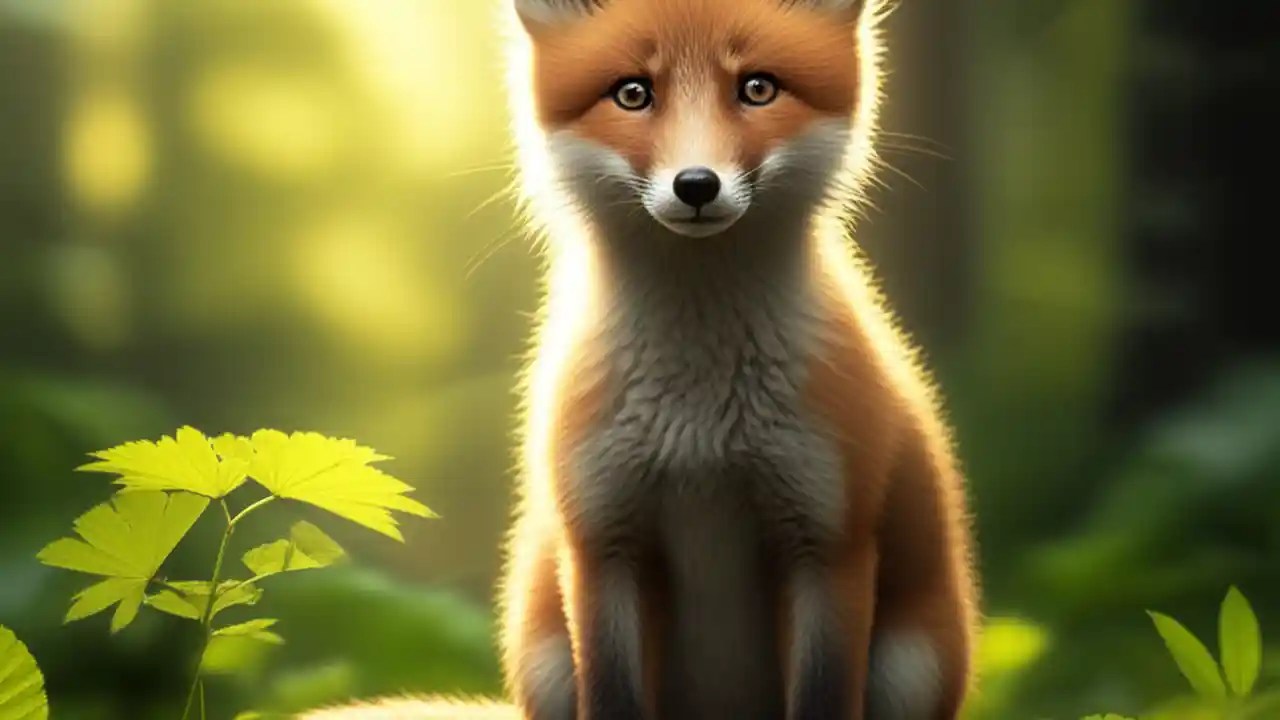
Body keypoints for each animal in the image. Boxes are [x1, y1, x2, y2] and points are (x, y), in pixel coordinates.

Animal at [302, 0, 978, 718]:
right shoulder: (602, 546)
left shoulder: (828, 545)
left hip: (910, 667)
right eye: (632, 93)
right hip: (547, 660)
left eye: (757, 87)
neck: (701, 429)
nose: (697, 185)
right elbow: (612, 694)